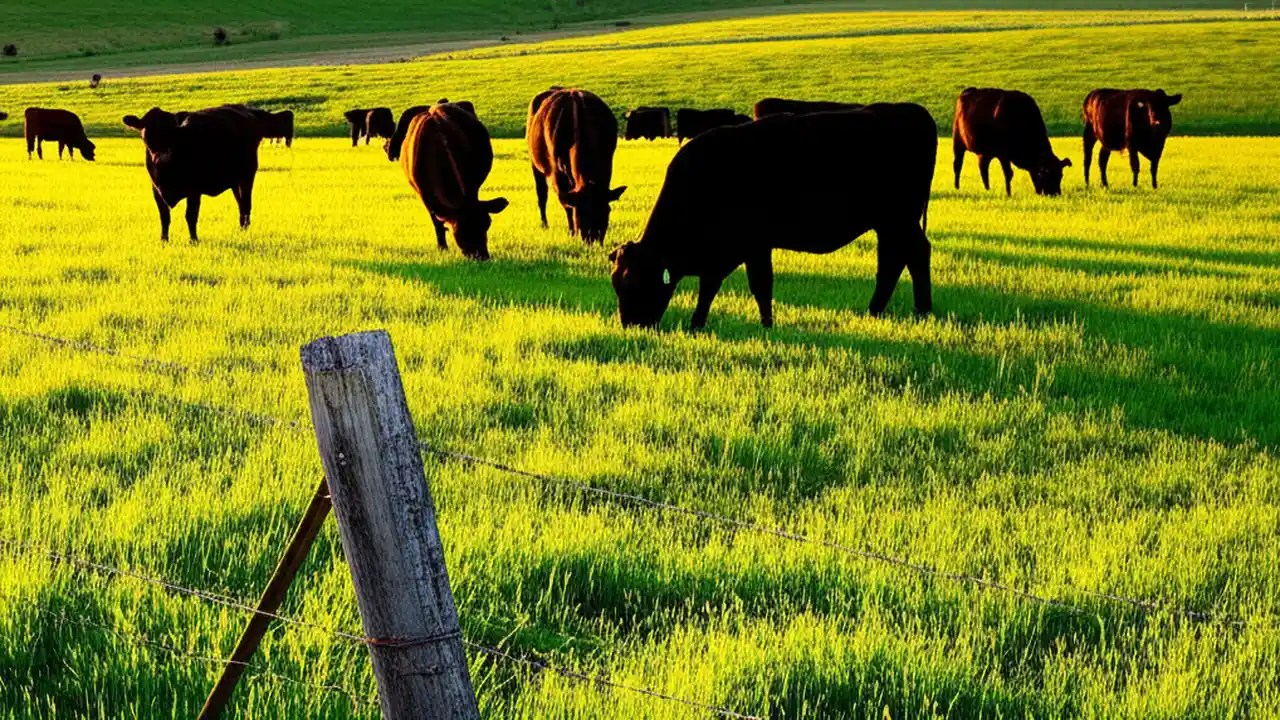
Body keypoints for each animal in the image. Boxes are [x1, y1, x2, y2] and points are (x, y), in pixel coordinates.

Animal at [122, 105, 264, 243]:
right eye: (147, 135)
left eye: (171, 135)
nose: (161, 158)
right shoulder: (156, 189)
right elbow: (164, 216)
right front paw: (164, 240)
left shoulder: (194, 190)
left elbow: (191, 215)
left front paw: (194, 240)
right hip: (235, 181)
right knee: (240, 204)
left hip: (247, 176)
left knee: (246, 205)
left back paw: (244, 231)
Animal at [400, 104, 508, 260]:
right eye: (461, 231)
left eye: (488, 223)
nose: (482, 257)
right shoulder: (426, 197)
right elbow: (437, 224)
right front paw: (442, 248)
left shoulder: (472, 186)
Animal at [527, 88, 626, 244]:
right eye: (580, 212)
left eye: (607, 210)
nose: (593, 239)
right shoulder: (557, 175)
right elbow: (567, 205)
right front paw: (572, 233)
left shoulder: (607, 166)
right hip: (535, 165)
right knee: (542, 195)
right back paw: (545, 225)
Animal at [608, 104, 936, 330]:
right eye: (617, 284)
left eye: (636, 283)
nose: (631, 324)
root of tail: (913, 112)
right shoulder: (728, 252)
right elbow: (714, 287)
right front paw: (699, 323)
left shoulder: (752, 245)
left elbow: (758, 284)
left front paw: (765, 325)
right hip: (889, 224)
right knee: (894, 260)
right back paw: (877, 310)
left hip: (899, 220)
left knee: (915, 254)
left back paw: (922, 310)